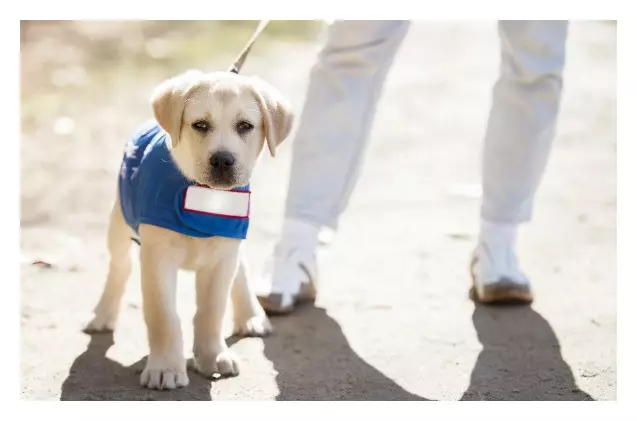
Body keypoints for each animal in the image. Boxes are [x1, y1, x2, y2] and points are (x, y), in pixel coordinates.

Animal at [85, 69, 294, 388]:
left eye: (245, 126)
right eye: (200, 125)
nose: (222, 159)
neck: (203, 195)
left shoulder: (223, 255)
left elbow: (211, 312)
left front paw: (213, 357)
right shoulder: (157, 258)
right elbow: (164, 317)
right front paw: (165, 368)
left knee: (241, 270)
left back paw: (250, 316)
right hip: (119, 221)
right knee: (119, 267)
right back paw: (102, 314)